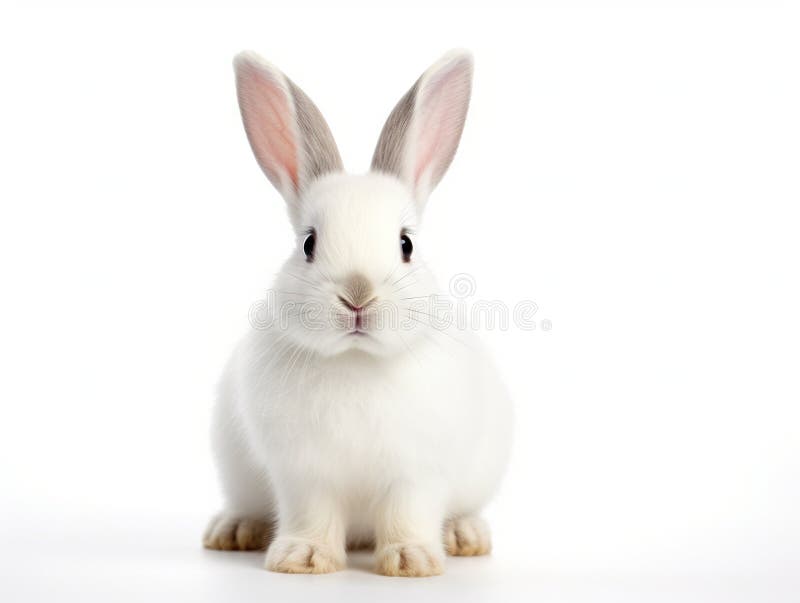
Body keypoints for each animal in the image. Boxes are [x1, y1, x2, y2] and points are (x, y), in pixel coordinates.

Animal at [203, 49, 514, 577]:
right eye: (308, 243)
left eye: (406, 244)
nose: (358, 296)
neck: (356, 361)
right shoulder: (305, 475)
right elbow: (313, 516)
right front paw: (302, 558)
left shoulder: (416, 474)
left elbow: (408, 515)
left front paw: (412, 561)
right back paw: (233, 531)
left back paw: (465, 535)